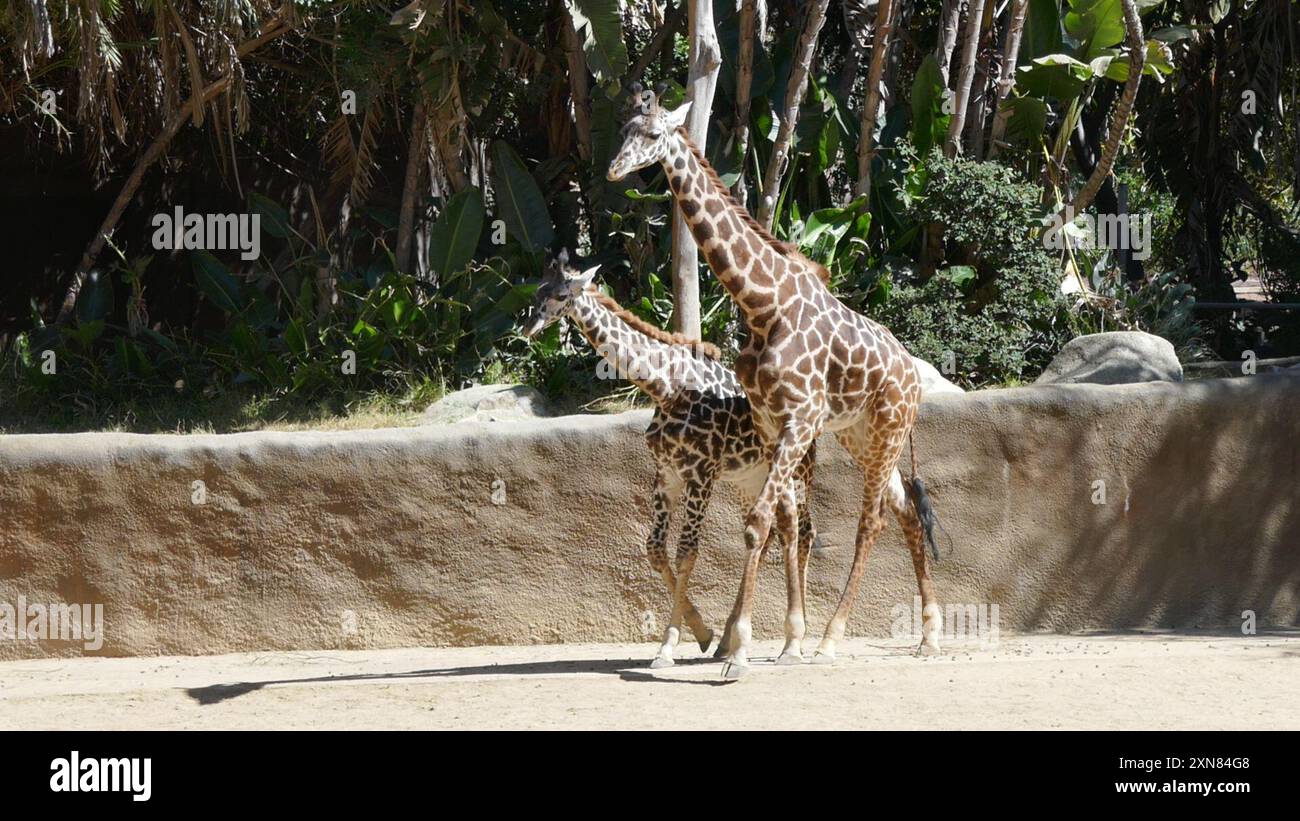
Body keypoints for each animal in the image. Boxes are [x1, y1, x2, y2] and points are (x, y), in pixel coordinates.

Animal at [523, 250, 823, 668]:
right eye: (537, 289)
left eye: (563, 293)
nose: (528, 326)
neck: (665, 387)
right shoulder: (666, 474)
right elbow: (654, 549)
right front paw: (703, 634)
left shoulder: (701, 473)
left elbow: (687, 554)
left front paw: (668, 646)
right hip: (748, 477)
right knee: (769, 536)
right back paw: (729, 641)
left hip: (796, 469)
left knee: (799, 530)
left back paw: (793, 641)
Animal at [608, 86, 943, 678]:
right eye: (624, 129)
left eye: (652, 134)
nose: (613, 170)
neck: (762, 303)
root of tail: (913, 374)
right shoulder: (769, 424)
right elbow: (774, 523)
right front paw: (759, 642)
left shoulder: (800, 419)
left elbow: (760, 521)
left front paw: (741, 651)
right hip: (859, 435)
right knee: (904, 509)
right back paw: (928, 634)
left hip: (886, 428)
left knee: (873, 519)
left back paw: (832, 638)